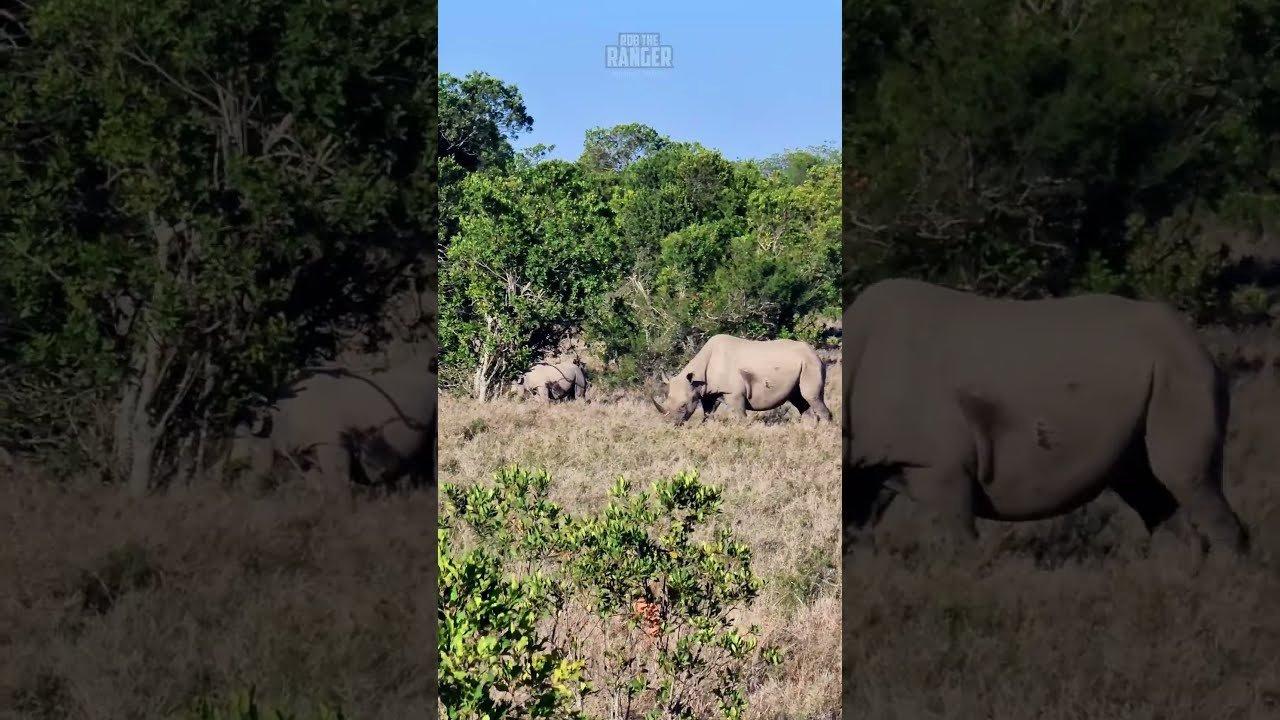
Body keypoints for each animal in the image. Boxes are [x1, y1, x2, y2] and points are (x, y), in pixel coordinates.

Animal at [228, 360, 436, 491]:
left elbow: (338, 482)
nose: (232, 475)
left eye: (250, 456)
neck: (278, 421)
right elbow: (319, 484)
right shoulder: (307, 447)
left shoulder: (330, 440)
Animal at [652, 334, 832, 426]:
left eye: (683, 405)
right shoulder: (708, 392)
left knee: (811, 397)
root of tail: (815, 353)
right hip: (802, 364)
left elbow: (740, 416)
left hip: (811, 364)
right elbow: (707, 414)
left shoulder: (734, 393)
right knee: (799, 400)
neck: (696, 379)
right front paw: (706, 427)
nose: (668, 425)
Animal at [843, 278, 1248, 559]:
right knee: (1148, 489)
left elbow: (956, 543)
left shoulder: (937, 464)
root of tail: (1197, 341)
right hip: (1163, 373)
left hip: (1181, 370)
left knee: (1185, 478)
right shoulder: (873, 465)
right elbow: (854, 534)